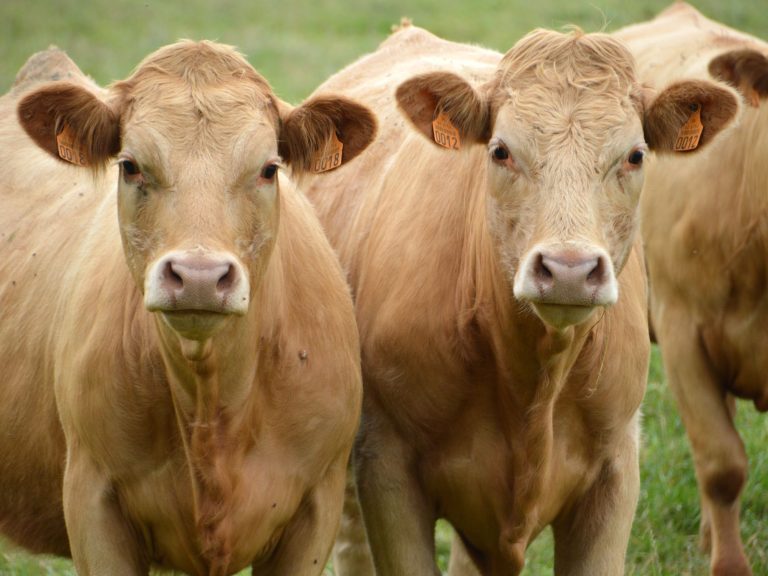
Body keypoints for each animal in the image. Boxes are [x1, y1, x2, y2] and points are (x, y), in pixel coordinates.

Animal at [295, 21, 741, 576]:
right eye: (501, 150)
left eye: (635, 155)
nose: (569, 270)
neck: (535, 379)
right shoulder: (387, 468)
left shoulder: (616, 471)